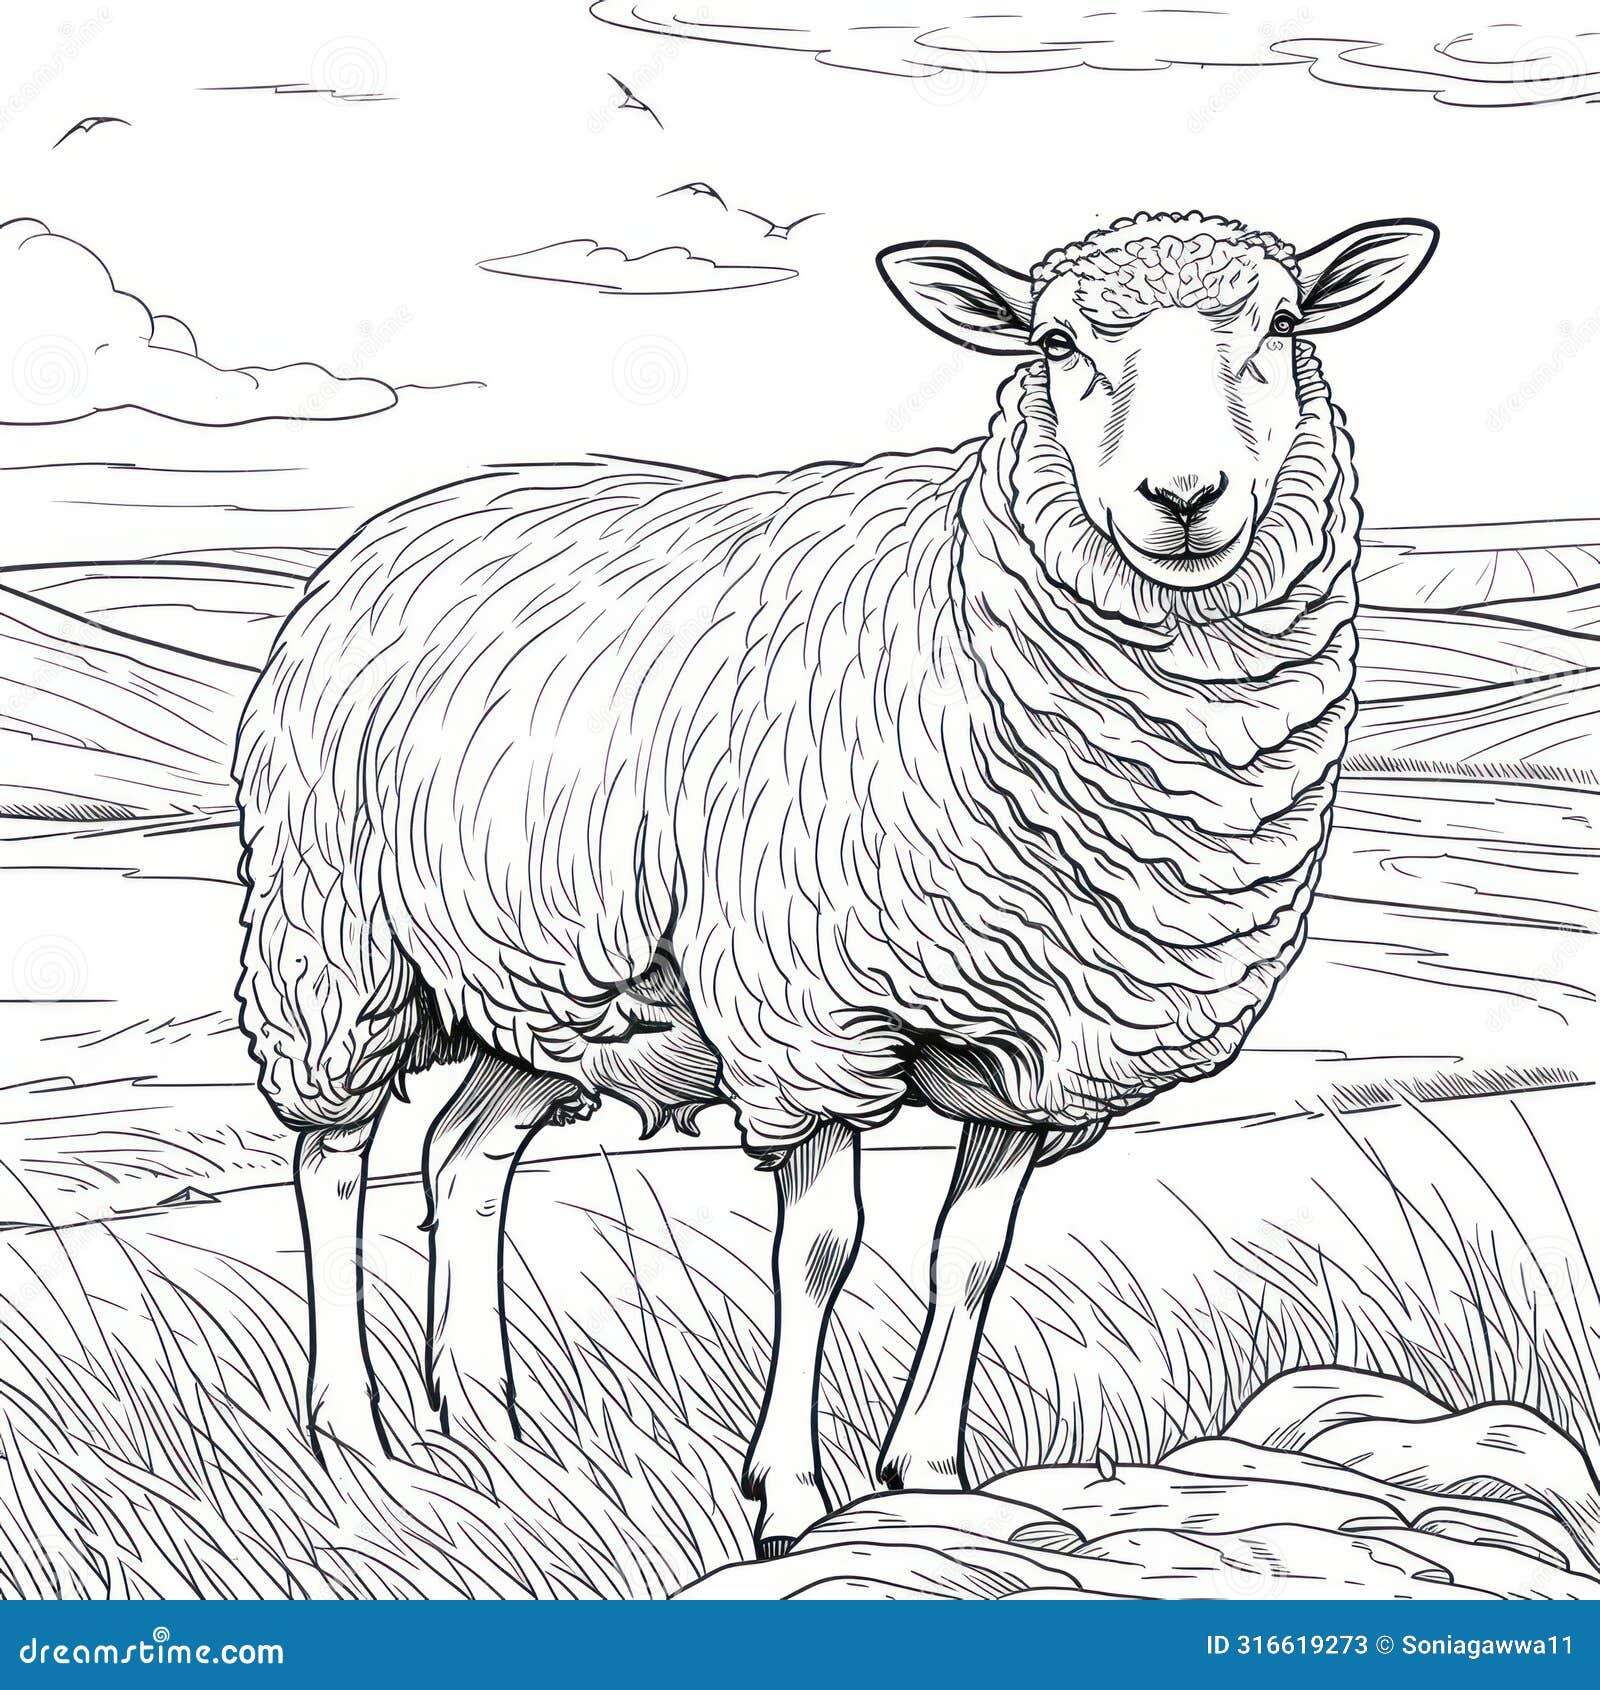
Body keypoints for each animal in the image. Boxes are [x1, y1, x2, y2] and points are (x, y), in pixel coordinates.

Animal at [234, 210, 1437, 1556]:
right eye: (1054, 342)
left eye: (1282, 324)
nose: (1182, 498)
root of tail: (410, 514)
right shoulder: (808, 1021)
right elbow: (819, 1250)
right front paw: (792, 1498)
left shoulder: (1034, 1047)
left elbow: (970, 1254)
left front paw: (931, 1477)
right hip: (331, 936)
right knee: (333, 1161)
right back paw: (351, 1427)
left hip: (551, 988)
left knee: (464, 1157)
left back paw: (488, 1424)